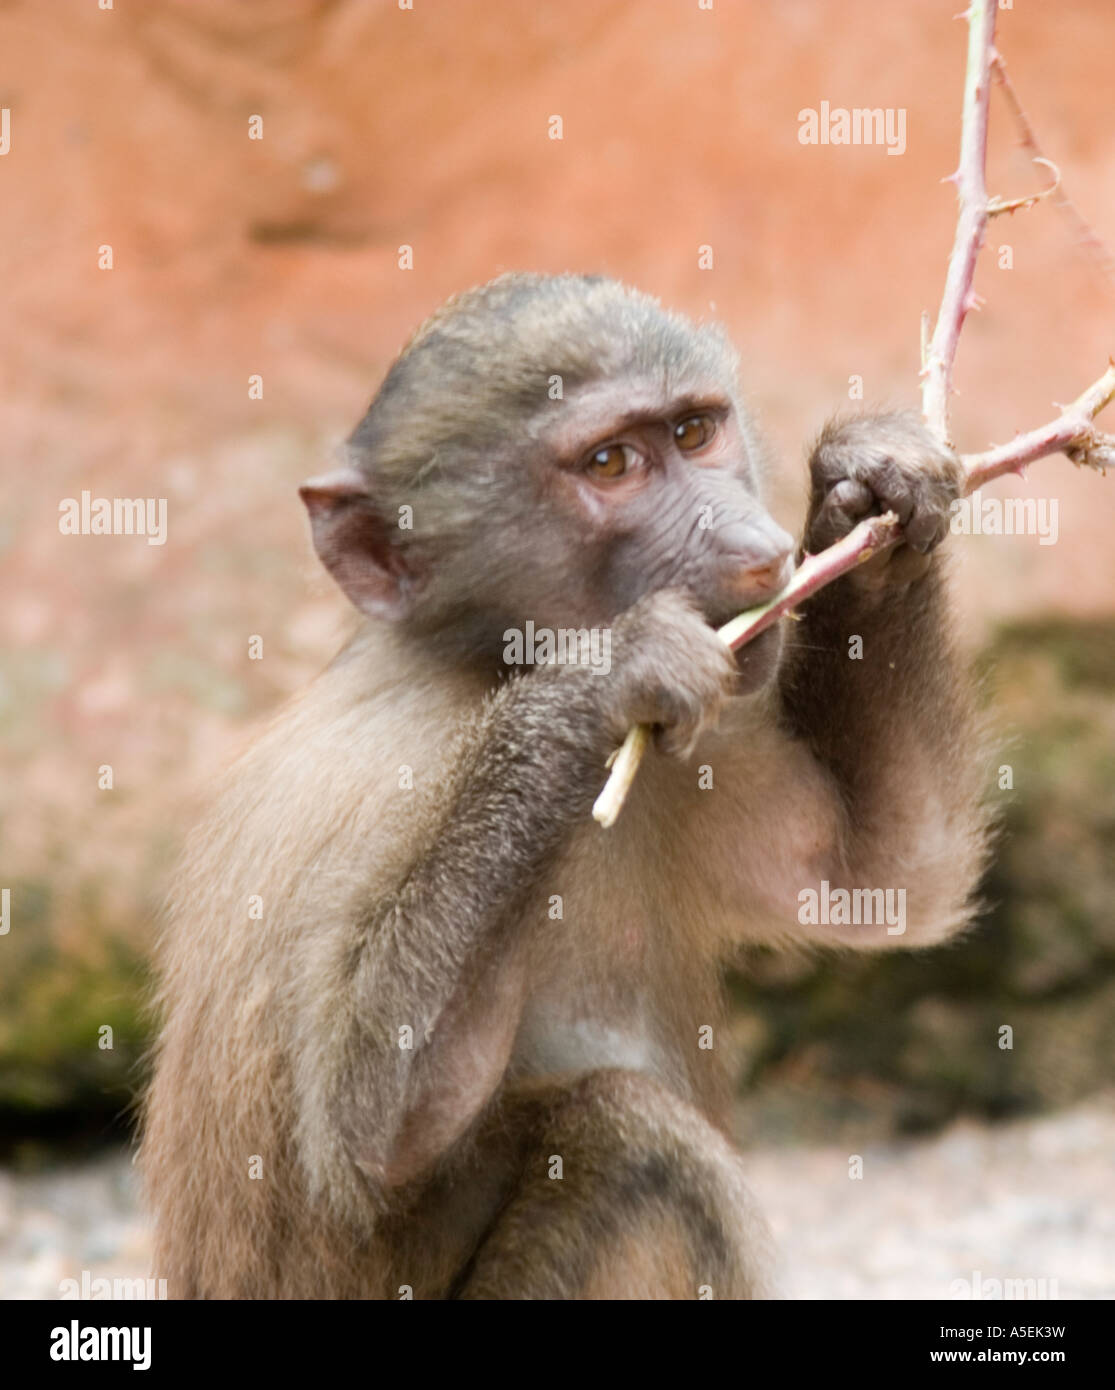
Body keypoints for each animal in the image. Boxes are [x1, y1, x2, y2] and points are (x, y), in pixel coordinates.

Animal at [141, 272, 991, 1299]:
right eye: (612, 462)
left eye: (696, 432)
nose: (754, 547)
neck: (480, 667)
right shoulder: (374, 788)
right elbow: (370, 1133)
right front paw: (598, 683)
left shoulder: (696, 739)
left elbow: (882, 870)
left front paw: (869, 484)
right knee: (636, 1145)